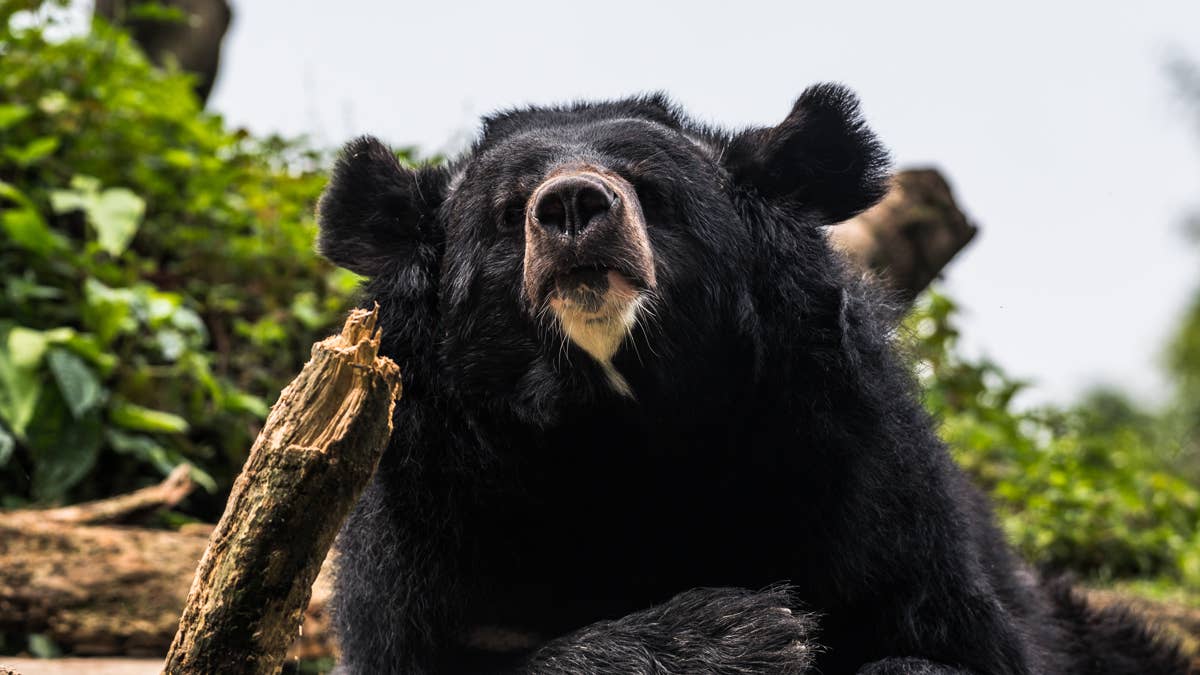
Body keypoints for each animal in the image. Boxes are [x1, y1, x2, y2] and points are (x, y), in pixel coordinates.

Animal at [316, 84, 1192, 674]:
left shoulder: (859, 467)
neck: (617, 425)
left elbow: (942, 637)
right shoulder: (430, 511)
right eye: (507, 212)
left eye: (651, 189)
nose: (571, 206)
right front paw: (740, 632)